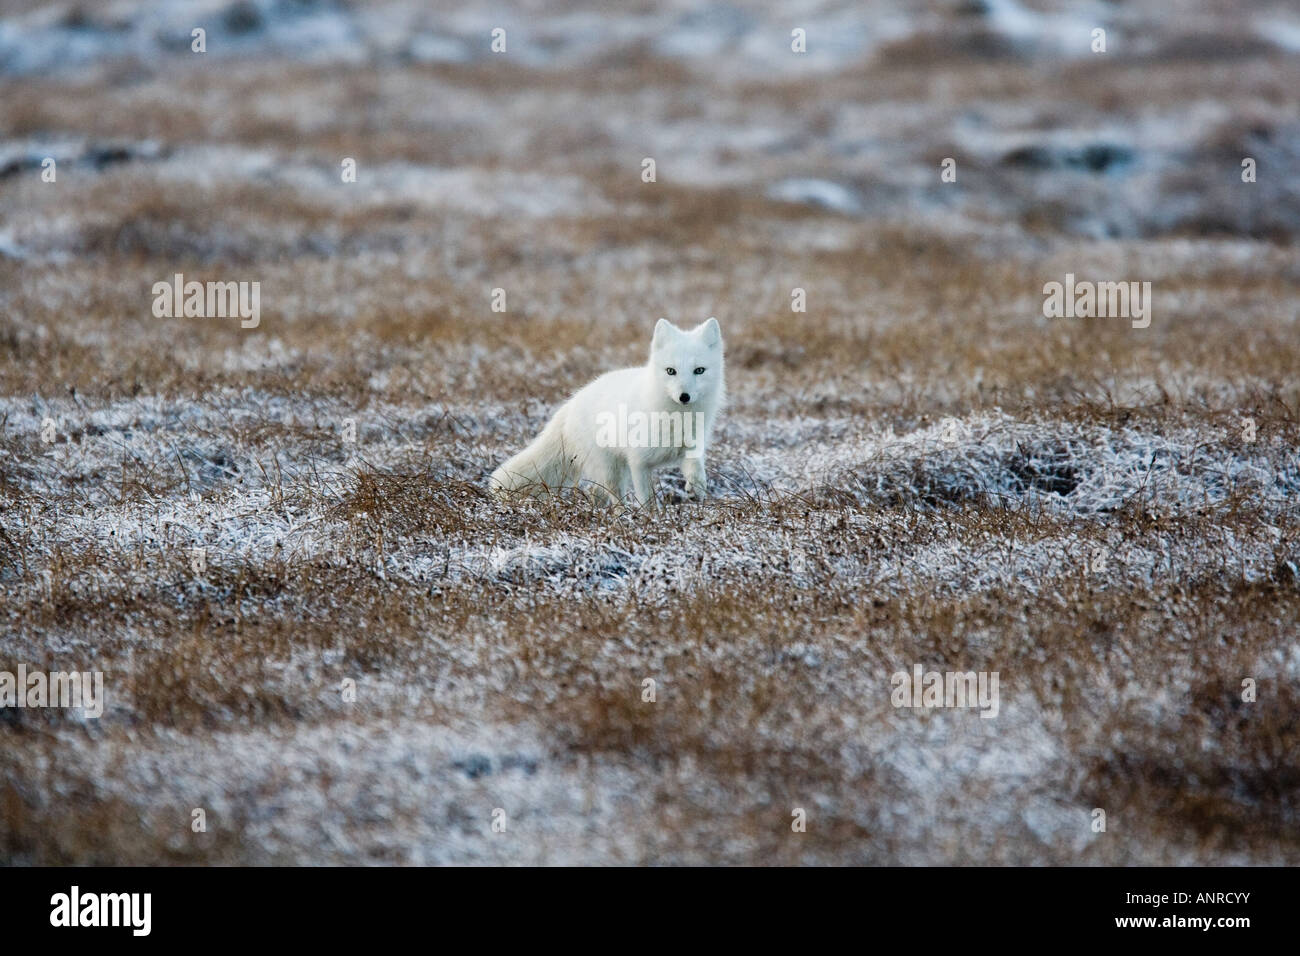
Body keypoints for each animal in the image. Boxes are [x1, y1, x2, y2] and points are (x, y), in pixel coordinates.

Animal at [490, 317, 725, 507]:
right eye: (671, 371)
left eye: (699, 370)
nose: (684, 396)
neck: (677, 418)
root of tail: (571, 403)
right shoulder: (638, 461)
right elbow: (646, 499)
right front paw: (651, 521)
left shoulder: (690, 445)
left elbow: (696, 467)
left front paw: (696, 490)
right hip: (611, 469)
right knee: (614, 495)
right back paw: (621, 516)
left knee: (597, 493)